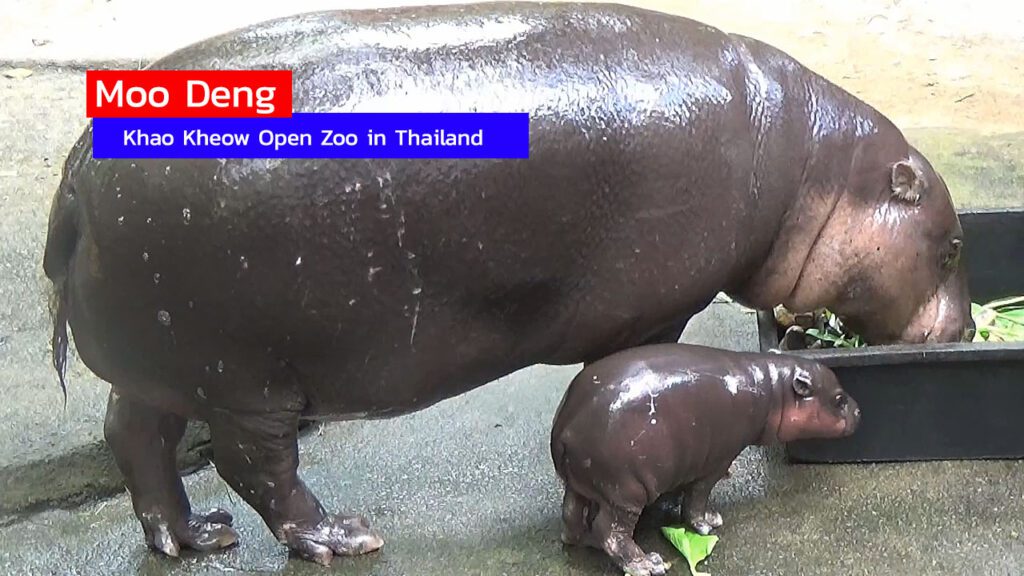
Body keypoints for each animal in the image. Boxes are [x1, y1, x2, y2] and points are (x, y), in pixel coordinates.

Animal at [550, 343, 860, 576]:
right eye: (839, 399)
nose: (859, 411)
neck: (773, 386)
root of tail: (566, 427)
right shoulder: (717, 461)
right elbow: (698, 498)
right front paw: (710, 523)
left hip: (583, 483)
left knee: (572, 513)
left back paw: (585, 541)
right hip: (625, 491)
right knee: (611, 531)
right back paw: (648, 564)